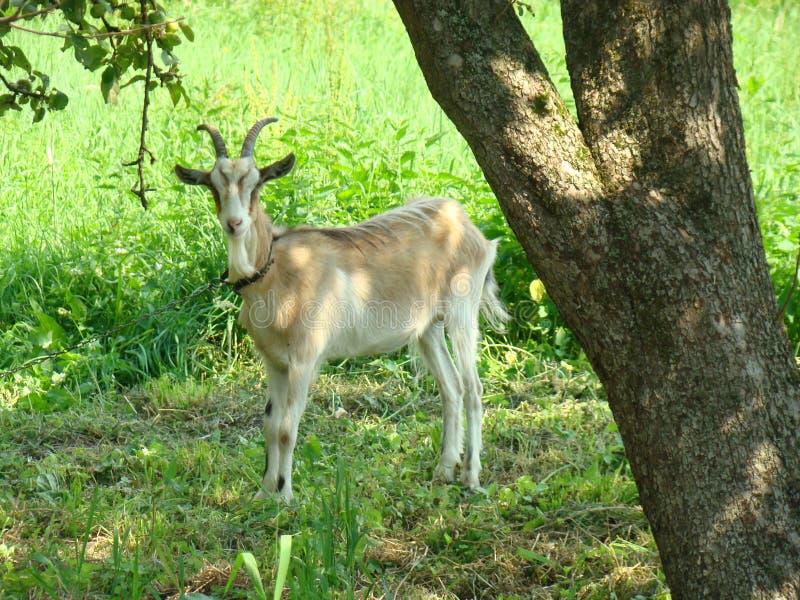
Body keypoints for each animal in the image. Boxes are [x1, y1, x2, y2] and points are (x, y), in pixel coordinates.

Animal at [174, 118, 508, 501]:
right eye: (212, 185)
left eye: (257, 182)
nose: (234, 223)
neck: (274, 271)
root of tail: (468, 227)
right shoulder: (273, 361)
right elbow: (269, 424)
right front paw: (263, 493)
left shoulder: (304, 359)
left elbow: (287, 428)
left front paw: (285, 496)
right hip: (429, 328)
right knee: (451, 388)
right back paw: (444, 470)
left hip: (462, 312)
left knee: (473, 387)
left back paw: (471, 476)